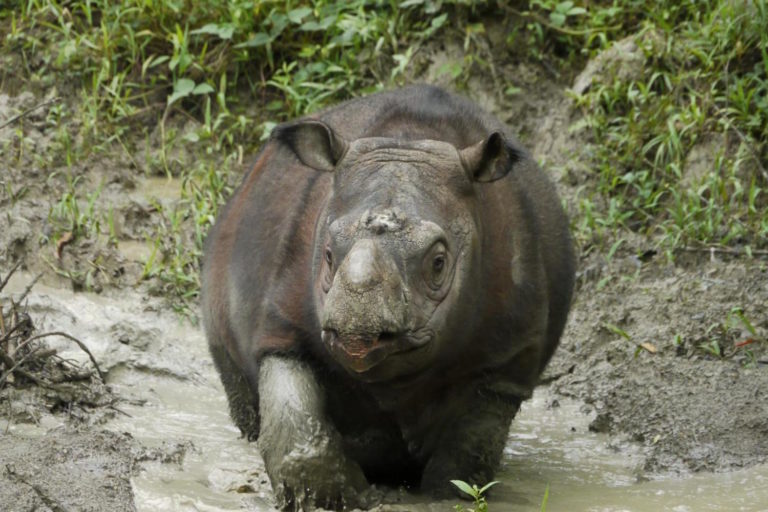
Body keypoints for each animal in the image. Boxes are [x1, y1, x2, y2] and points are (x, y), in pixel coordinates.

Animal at [201, 86, 572, 510]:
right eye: (326, 255)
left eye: (439, 263)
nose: (357, 330)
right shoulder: (283, 326)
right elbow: (296, 422)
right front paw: (340, 498)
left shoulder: (506, 362)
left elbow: (468, 454)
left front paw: (443, 498)